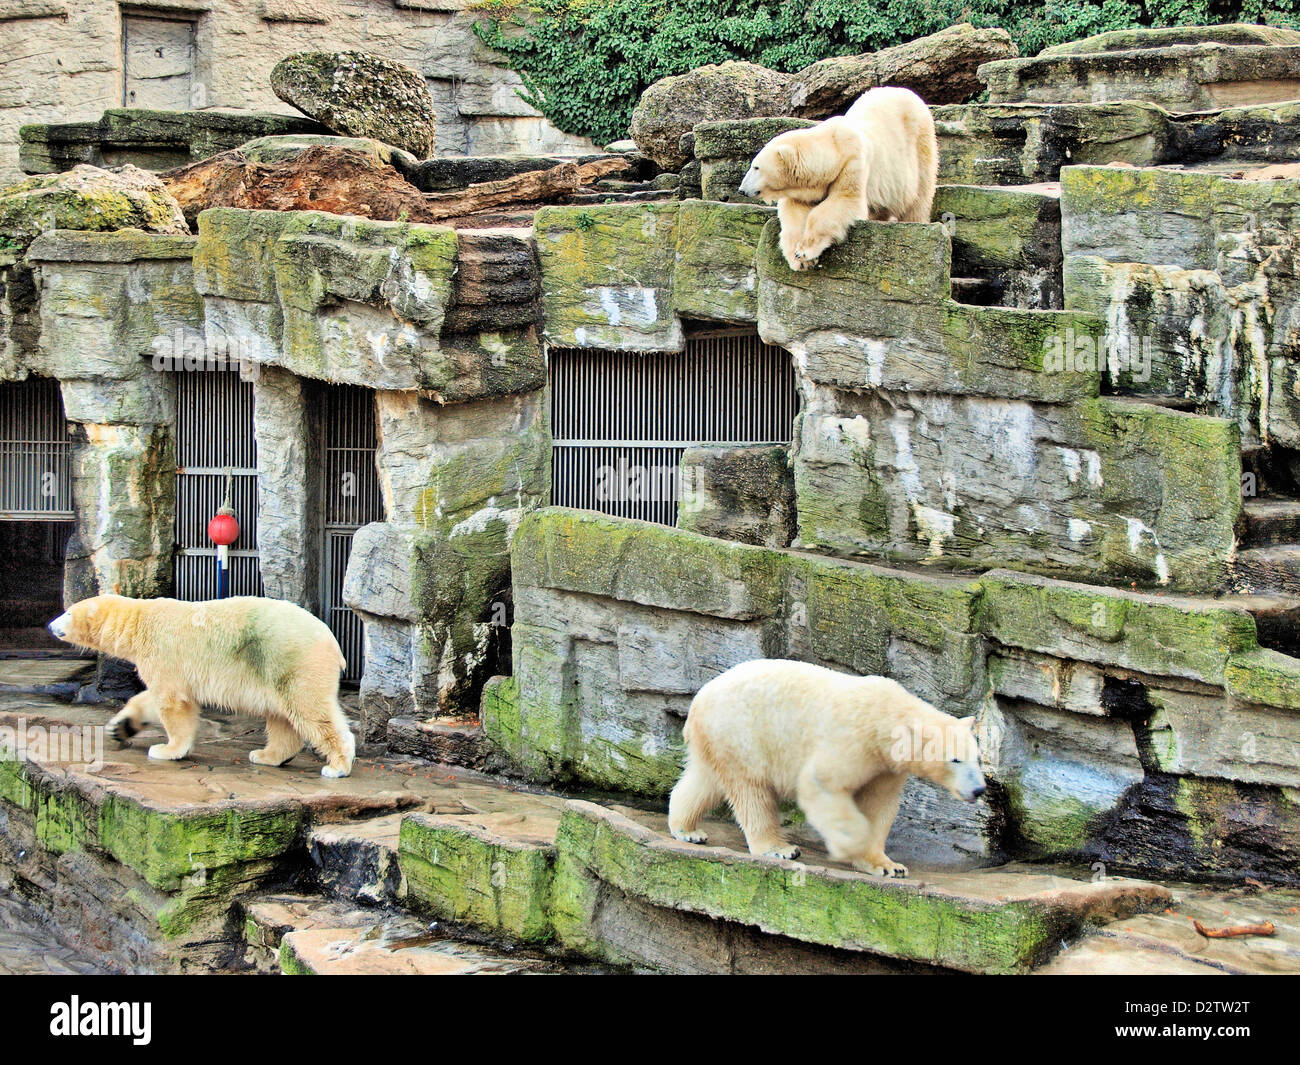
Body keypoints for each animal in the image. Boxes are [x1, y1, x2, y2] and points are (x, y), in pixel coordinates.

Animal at [48, 594, 356, 778]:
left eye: (67, 613)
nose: (50, 625)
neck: (140, 621)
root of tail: (333, 643)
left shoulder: (164, 652)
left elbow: (173, 702)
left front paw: (166, 749)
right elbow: (151, 697)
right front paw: (120, 727)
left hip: (291, 661)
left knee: (310, 710)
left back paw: (337, 766)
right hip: (274, 669)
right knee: (282, 718)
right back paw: (265, 755)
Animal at [667, 659, 984, 877]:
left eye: (978, 757)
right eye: (955, 759)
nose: (979, 789)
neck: (885, 716)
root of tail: (698, 701)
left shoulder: (886, 767)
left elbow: (879, 804)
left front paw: (888, 866)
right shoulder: (854, 741)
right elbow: (821, 784)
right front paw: (849, 844)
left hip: (718, 739)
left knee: (705, 781)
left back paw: (687, 830)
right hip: (741, 732)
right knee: (751, 790)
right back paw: (780, 849)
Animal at [738, 86, 939, 272]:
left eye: (756, 167)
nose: (741, 190)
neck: (833, 147)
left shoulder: (852, 162)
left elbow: (843, 201)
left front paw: (805, 251)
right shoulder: (807, 187)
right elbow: (794, 209)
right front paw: (799, 260)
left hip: (920, 143)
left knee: (920, 193)